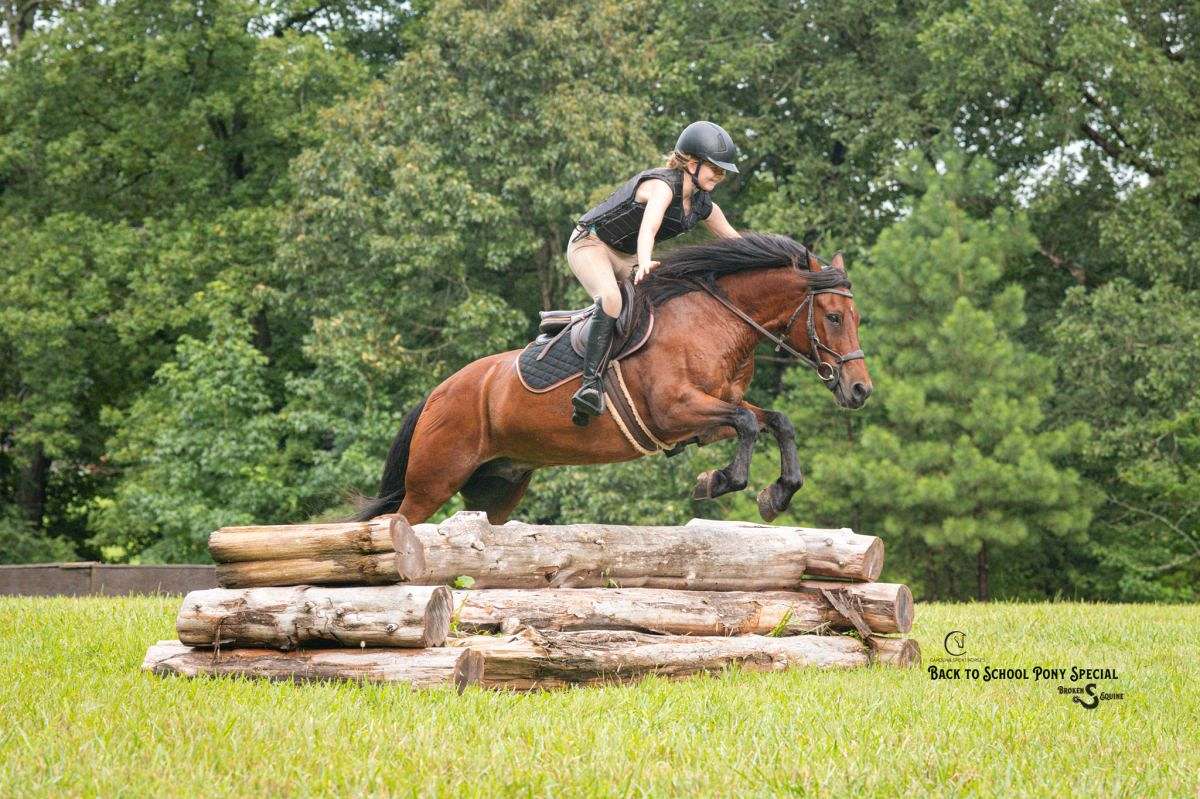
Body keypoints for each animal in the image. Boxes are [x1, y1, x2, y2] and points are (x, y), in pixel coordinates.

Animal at [351, 232, 871, 525]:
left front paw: (775, 494)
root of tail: (437, 393)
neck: (715, 322)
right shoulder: (675, 411)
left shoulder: (707, 417)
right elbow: (747, 424)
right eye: (833, 317)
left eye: (856, 317)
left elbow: (776, 421)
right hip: (433, 481)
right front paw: (719, 481)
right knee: (401, 522)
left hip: (497, 488)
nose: (860, 390)